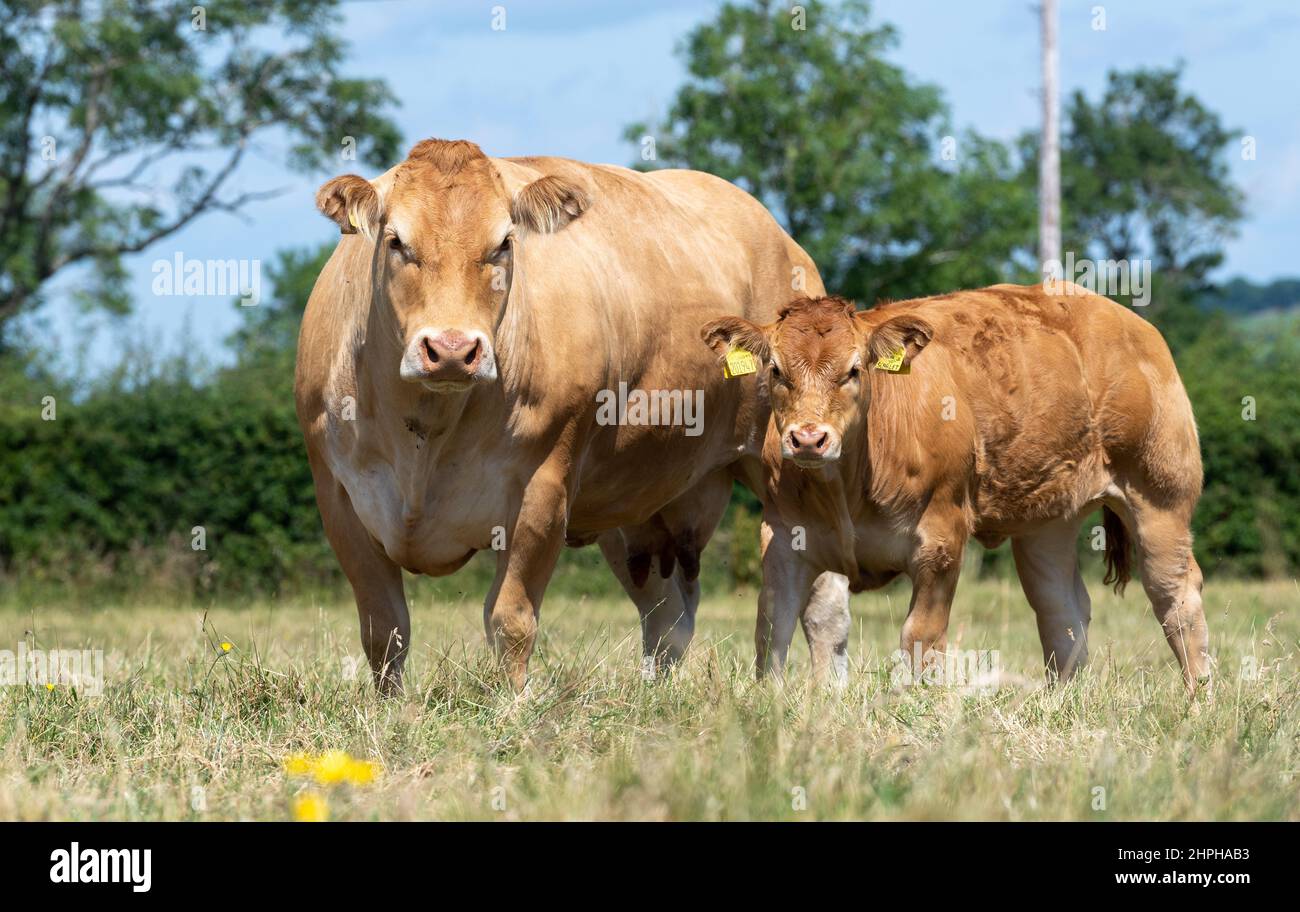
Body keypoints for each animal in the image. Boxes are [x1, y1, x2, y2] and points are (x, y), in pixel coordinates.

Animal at [295, 137, 849, 693]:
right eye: (395, 242)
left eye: (504, 244)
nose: (452, 350)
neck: (427, 434)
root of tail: (781, 239)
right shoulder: (337, 496)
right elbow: (384, 628)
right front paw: (390, 707)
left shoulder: (543, 488)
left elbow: (510, 620)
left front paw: (511, 705)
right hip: (638, 504)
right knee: (669, 618)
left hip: (792, 461)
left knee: (819, 602)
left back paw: (821, 695)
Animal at [700, 284, 1212, 695]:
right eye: (776, 370)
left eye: (854, 370)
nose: (808, 438)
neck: (849, 486)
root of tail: (1130, 323)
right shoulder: (782, 538)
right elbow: (773, 629)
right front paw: (770, 705)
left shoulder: (940, 538)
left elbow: (919, 638)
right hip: (1048, 523)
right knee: (1061, 610)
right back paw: (1061, 701)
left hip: (1160, 497)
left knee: (1176, 598)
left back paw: (1198, 699)